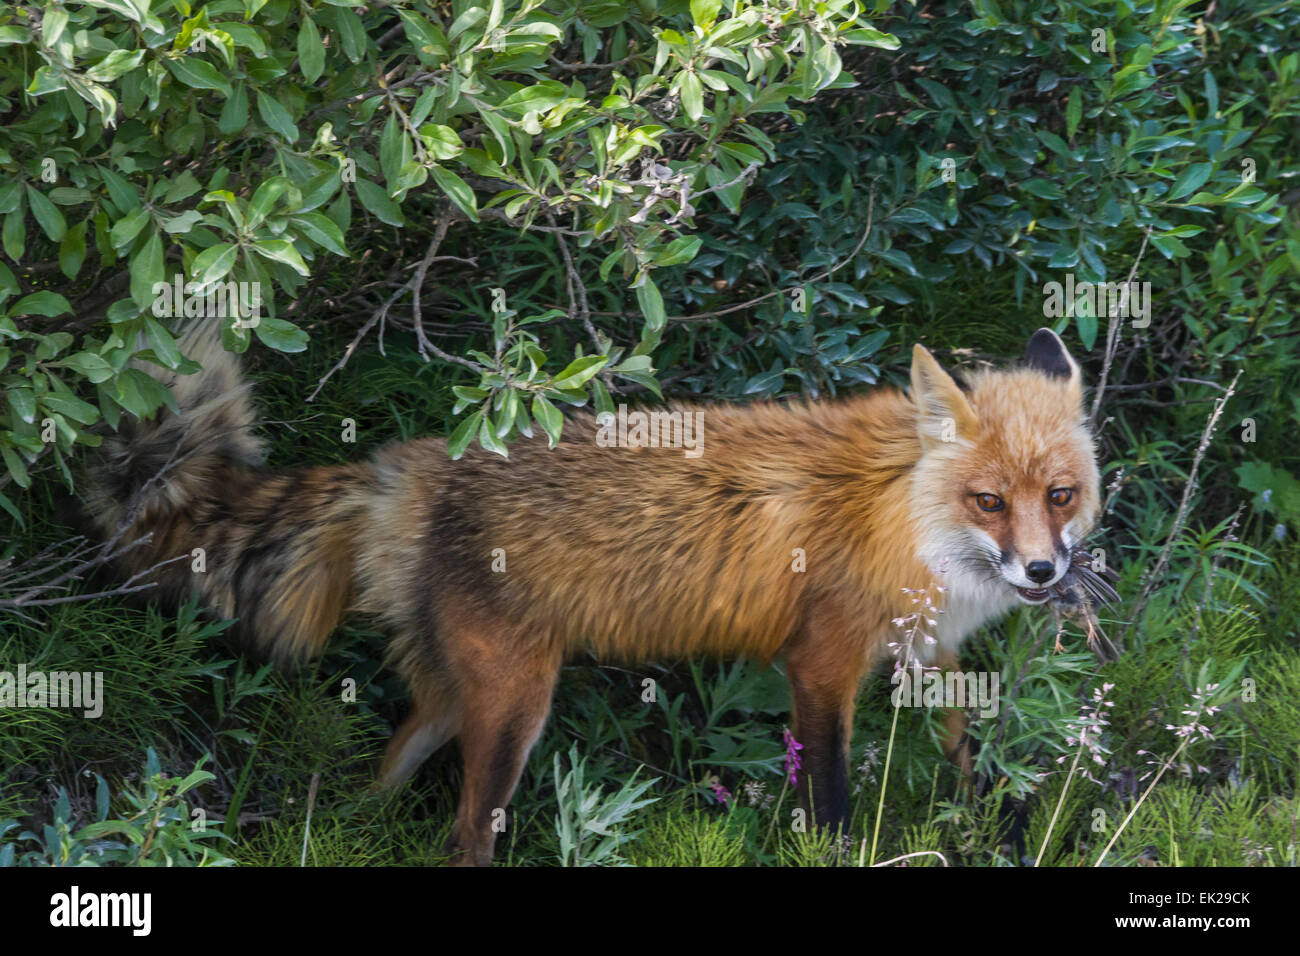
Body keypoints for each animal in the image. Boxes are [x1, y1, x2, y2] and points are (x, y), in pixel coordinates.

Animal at [86, 322, 1101, 866]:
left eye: (1060, 495)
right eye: (988, 500)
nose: (1043, 574)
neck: (905, 517)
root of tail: (411, 467)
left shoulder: (933, 653)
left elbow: (980, 765)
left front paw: (1006, 838)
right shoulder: (820, 665)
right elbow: (834, 805)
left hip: (459, 701)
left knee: (383, 773)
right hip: (514, 711)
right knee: (465, 840)